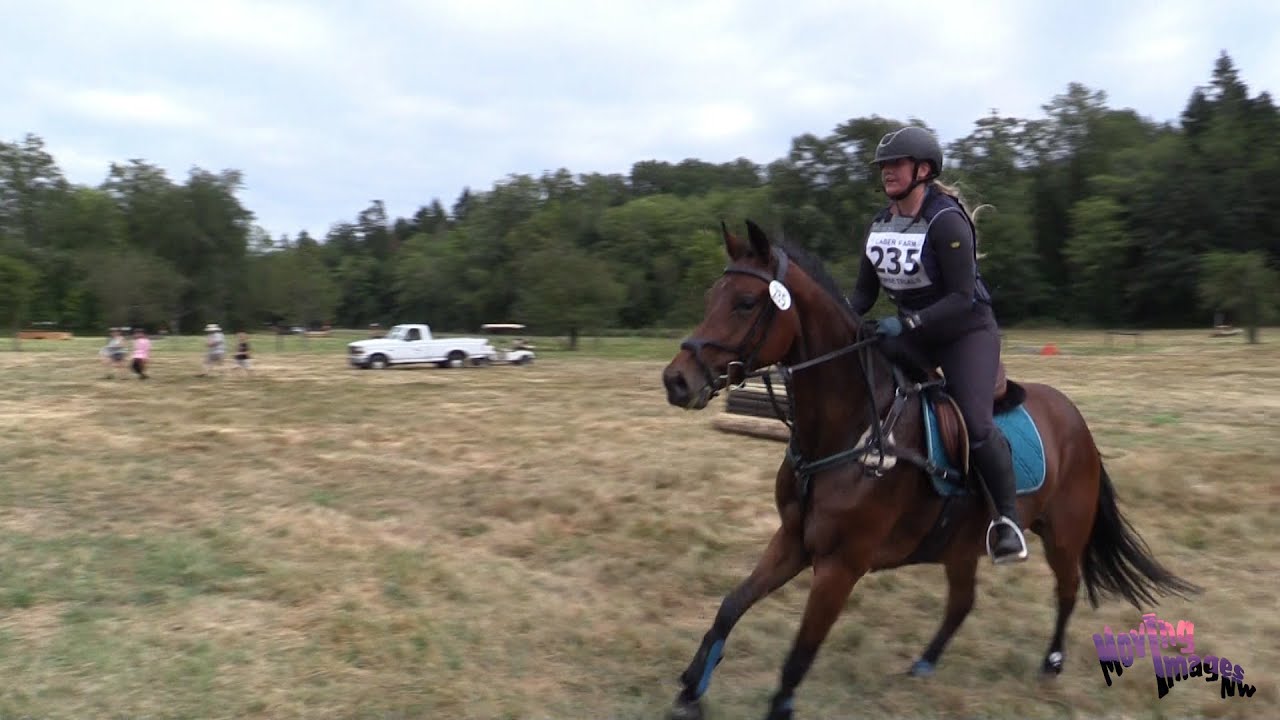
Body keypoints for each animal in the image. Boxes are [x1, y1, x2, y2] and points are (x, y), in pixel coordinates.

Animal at [659, 220, 1200, 720]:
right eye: (711, 297)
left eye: (747, 303)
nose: (676, 381)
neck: (850, 429)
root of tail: (1077, 420)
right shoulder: (793, 539)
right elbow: (731, 605)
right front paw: (690, 689)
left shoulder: (841, 564)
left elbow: (799, 654)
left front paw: (774, 704)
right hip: (962, 544)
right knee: (962, 602)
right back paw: (925, 662)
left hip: (1063, 534)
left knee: (1065, 592)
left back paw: (1051, 663)